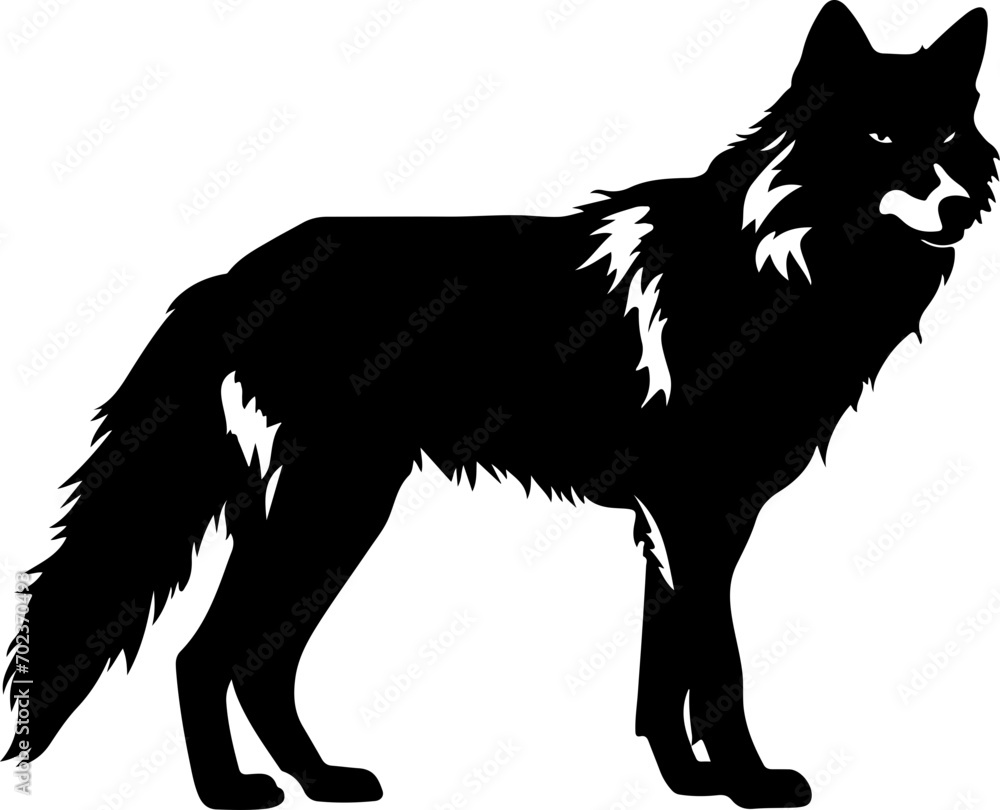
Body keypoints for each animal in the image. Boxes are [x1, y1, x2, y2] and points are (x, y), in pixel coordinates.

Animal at [5, 3, 997, 808]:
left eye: (953, 138)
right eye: (879, 137)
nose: (956, 206)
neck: (778, 267)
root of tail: (227, 278)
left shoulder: (672, 529)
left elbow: (662, 675)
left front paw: (687, 782)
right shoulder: (697, 520)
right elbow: (718, 669)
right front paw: (751, 784)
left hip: (331, 518)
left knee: (253, 661)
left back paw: (321, 782)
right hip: (334, 511)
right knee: (207, 654)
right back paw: (231, 795)